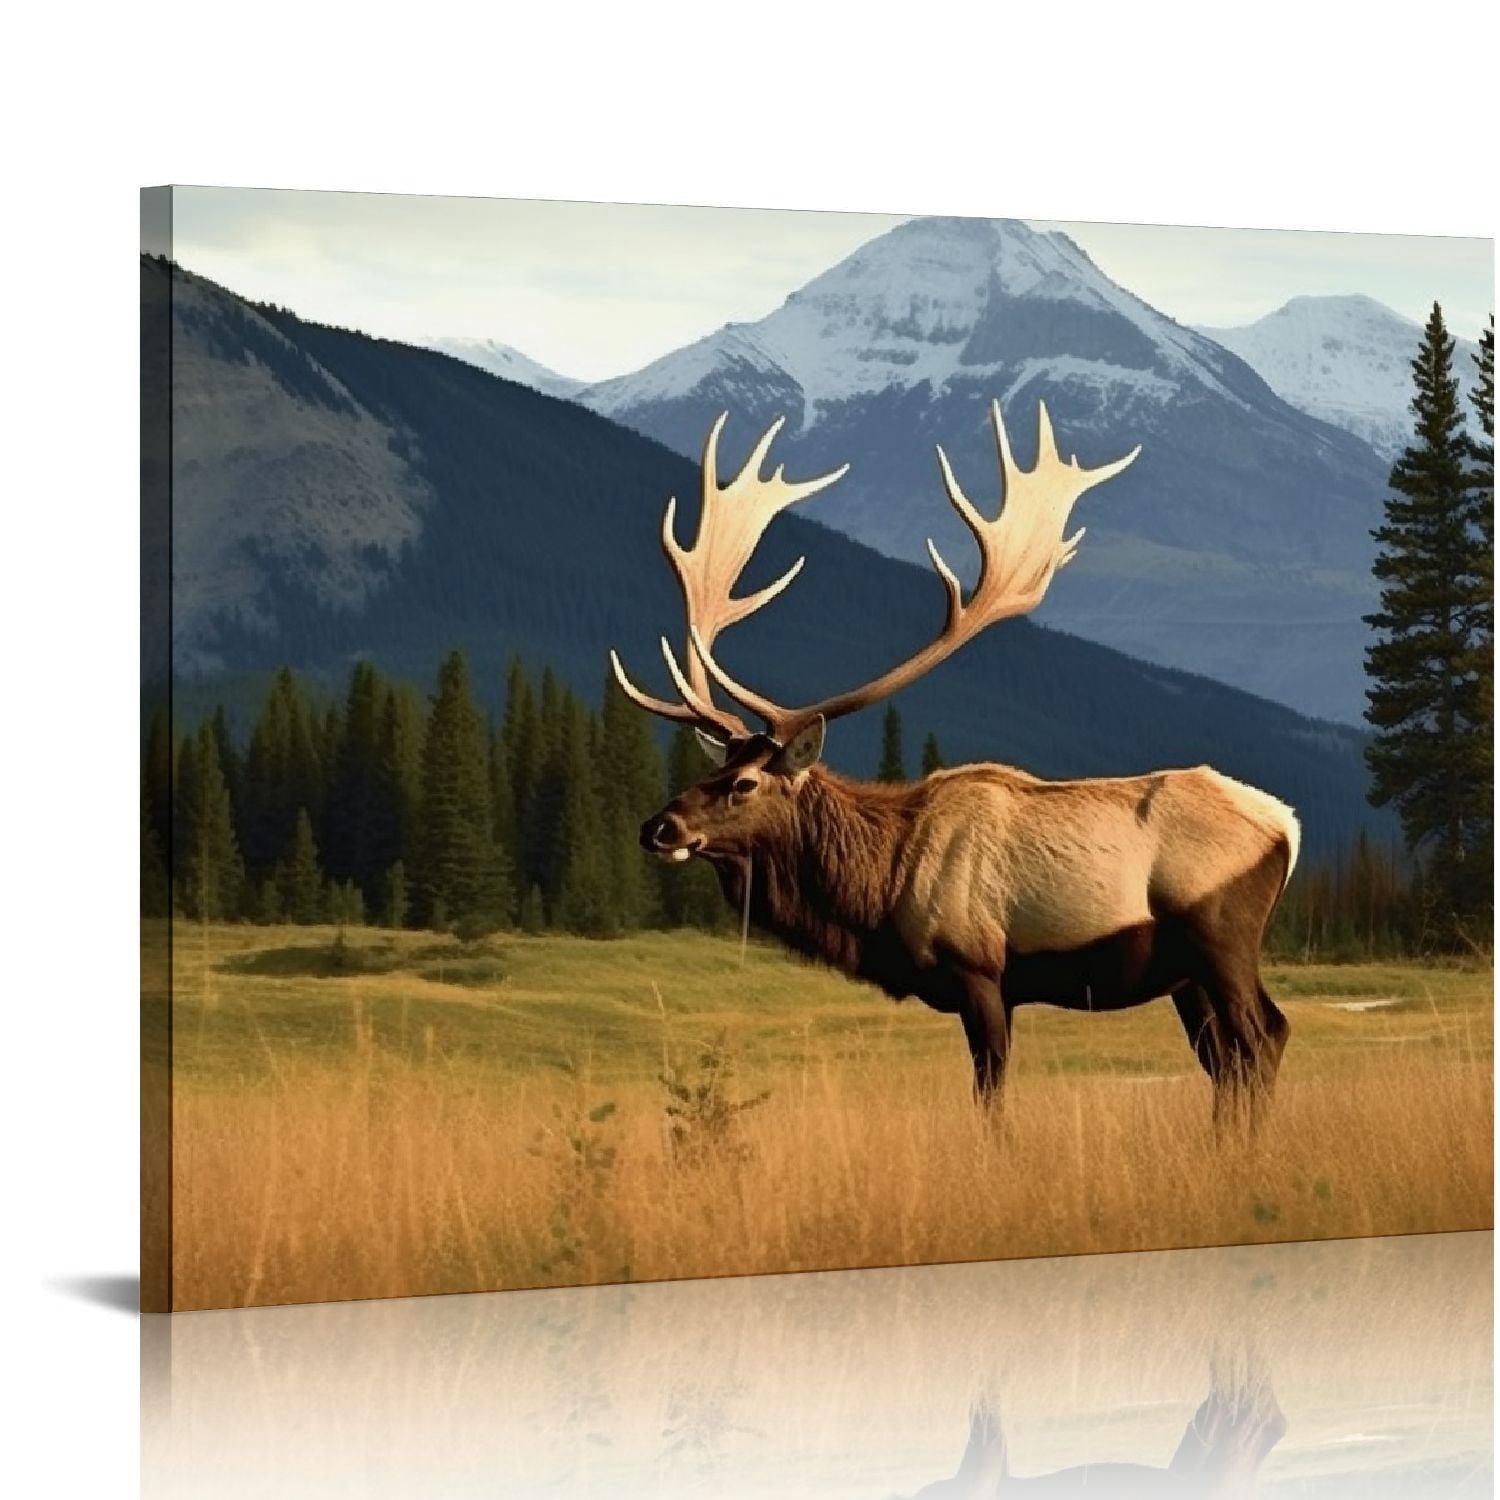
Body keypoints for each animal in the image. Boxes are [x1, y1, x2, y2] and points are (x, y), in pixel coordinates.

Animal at [611, 401, 1299, 1122]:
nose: (658, 827)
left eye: (744, 783)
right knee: (1226, 1060)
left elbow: (990, 1096)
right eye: (708, 770)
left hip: (1220, 933)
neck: (879, 892)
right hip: (1184, 974)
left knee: (1263, 1036)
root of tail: (1287, 825)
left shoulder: (978, 968)